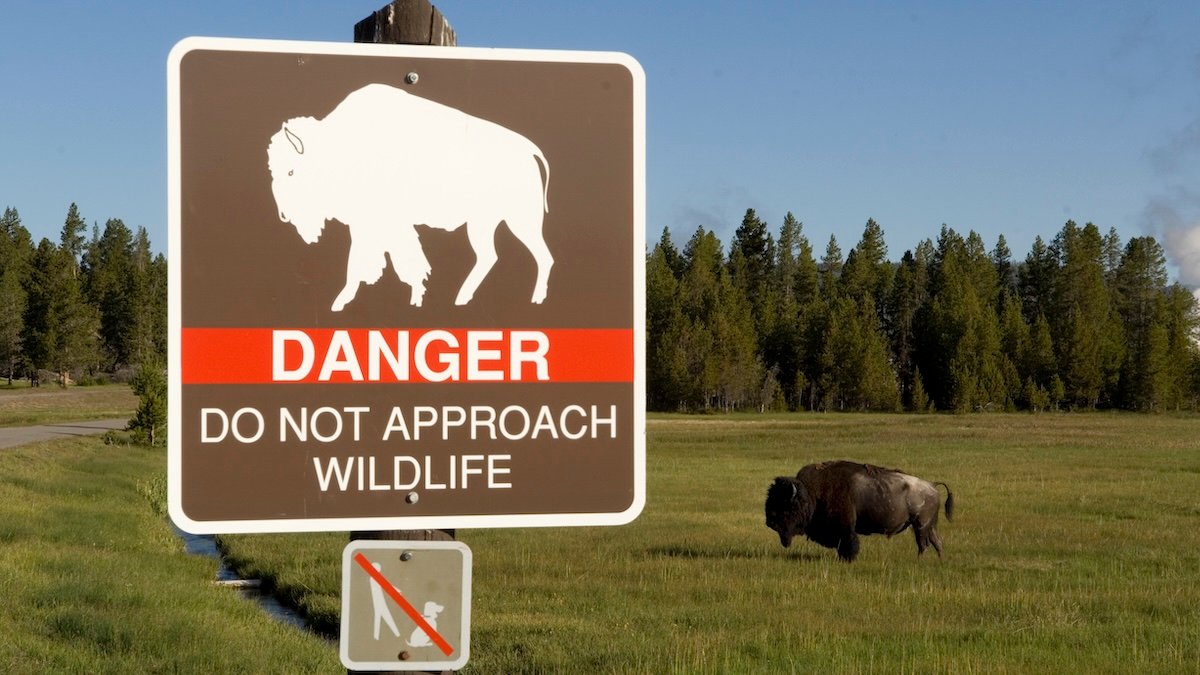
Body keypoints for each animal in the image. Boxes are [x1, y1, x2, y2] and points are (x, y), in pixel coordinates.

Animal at [765, 461, 954, 562]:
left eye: (787, 506)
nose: (770, 522)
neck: (812, 493)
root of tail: (932, 485)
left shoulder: (845, 528)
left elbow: (848, 542)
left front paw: (848, 559)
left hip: (920, 525)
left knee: (923, 544)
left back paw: (919, 561)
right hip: (929, 525)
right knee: (936, 542)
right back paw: (939, 560)